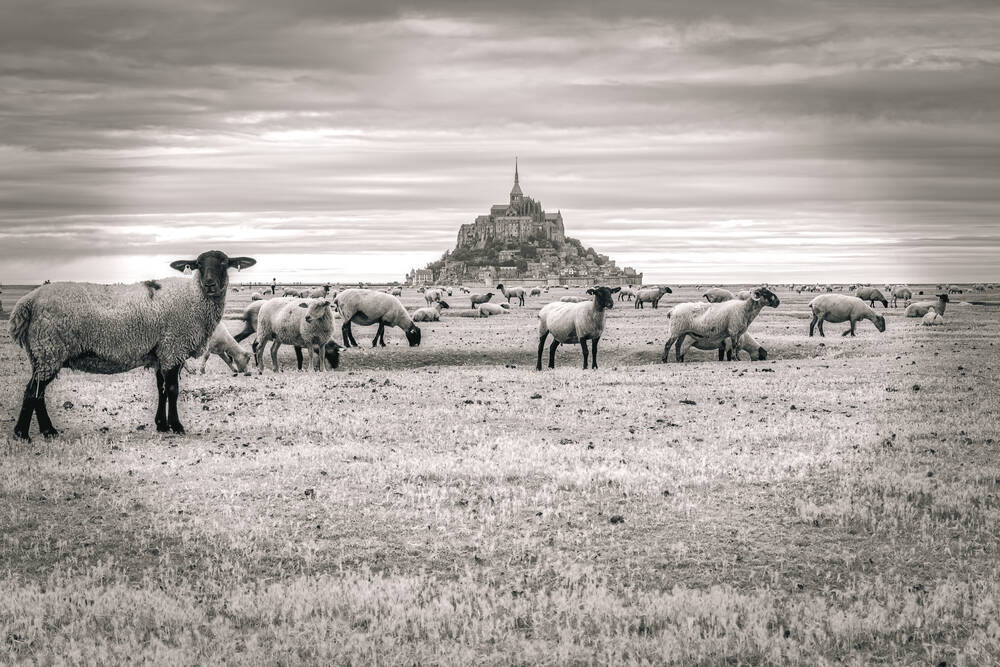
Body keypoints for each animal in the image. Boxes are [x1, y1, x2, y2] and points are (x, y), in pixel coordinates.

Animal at [9, 250, 255, 439]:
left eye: (224, 263)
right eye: (198, 264)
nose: (210, 284)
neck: (194, 296)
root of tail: (27, 301)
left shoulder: (161, 353)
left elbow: (161, 389)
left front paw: (161, 425)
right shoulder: (173, 347)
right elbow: (173, 390)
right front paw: (176, 426)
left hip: (41, 352)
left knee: (37, 393)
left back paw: (45, 431)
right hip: (49, 349)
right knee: (32, 392)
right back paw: (25, 434)